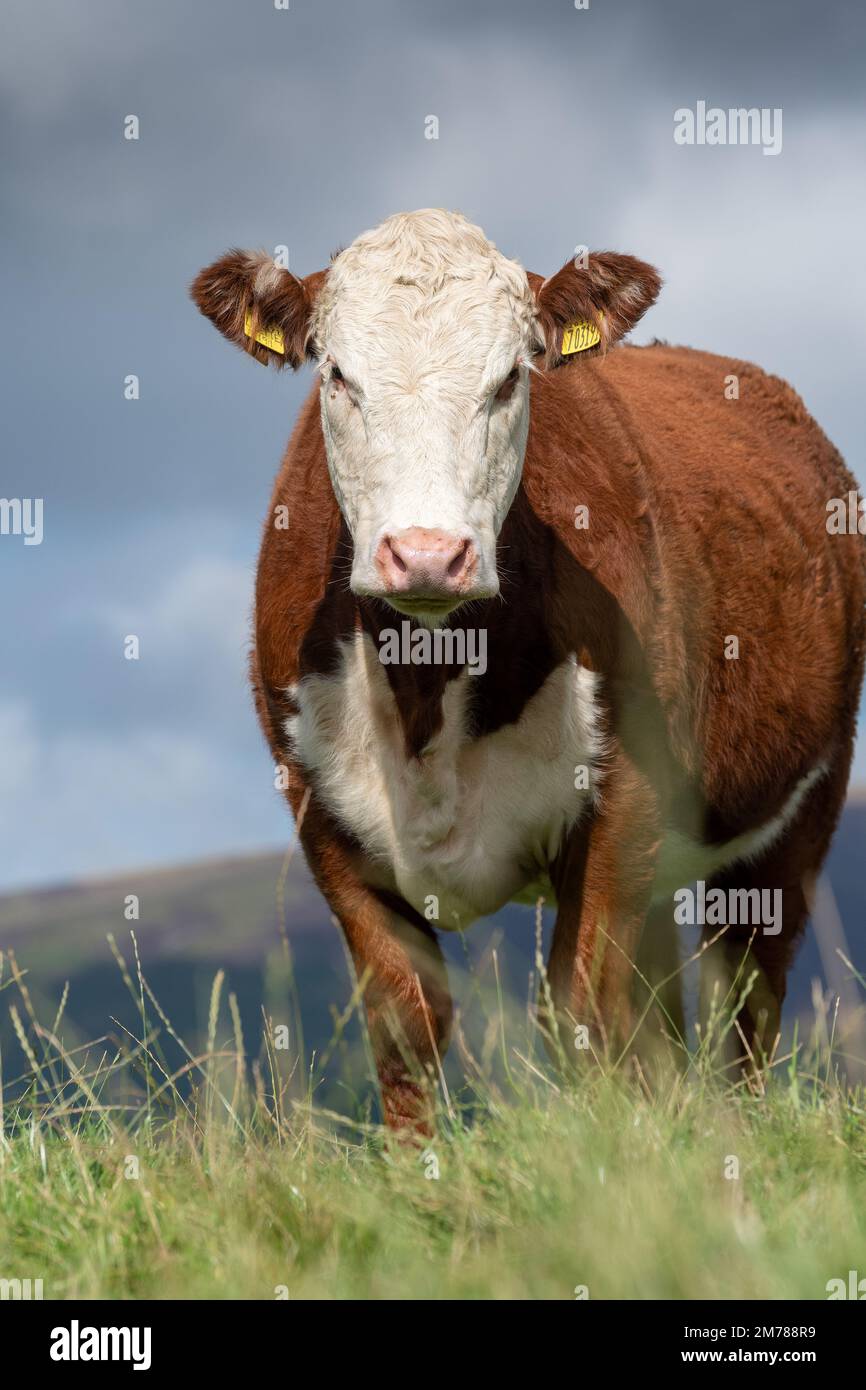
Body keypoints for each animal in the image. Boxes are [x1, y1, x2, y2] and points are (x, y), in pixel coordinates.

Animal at [192, 208, 865, 1130]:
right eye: (336, 374)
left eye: (512, 377)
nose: (428, 554)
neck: (426, 689)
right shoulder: (318, 810)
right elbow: (406, 1020)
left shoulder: (625, 796)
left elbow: (584, 1011)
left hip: (800, 813)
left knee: (745, 1002)